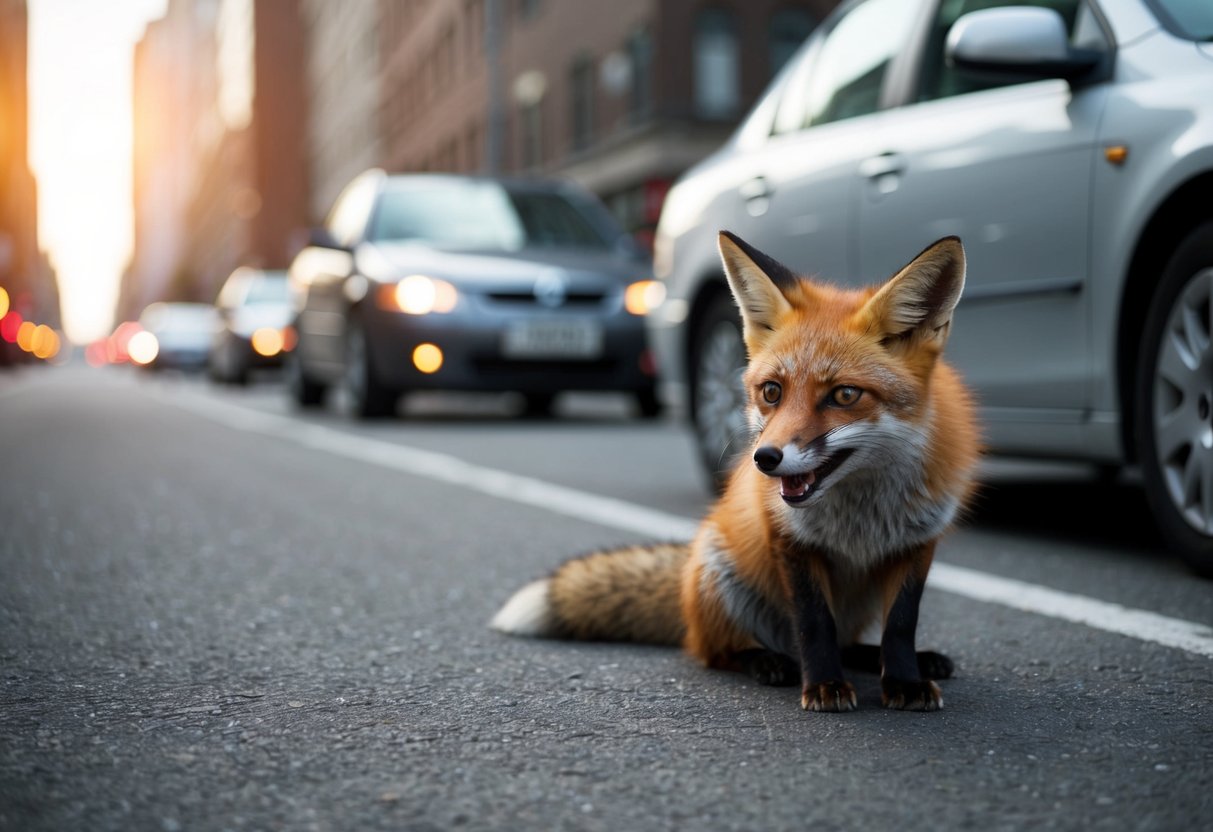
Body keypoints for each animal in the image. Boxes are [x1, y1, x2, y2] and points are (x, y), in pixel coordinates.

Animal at [491, 231, 980, 712]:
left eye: (844, 395)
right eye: (772, 391)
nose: (765, 459)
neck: (861, 515)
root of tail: (685, 591)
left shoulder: (918, 542)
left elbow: (900, 624)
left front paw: (903, 681)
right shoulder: (789, 540)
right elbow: (814, 625)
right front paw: (824, 685)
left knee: (846, 643)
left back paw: (896, 658)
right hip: (721, 576)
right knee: (718, 652)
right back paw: (769, 661)